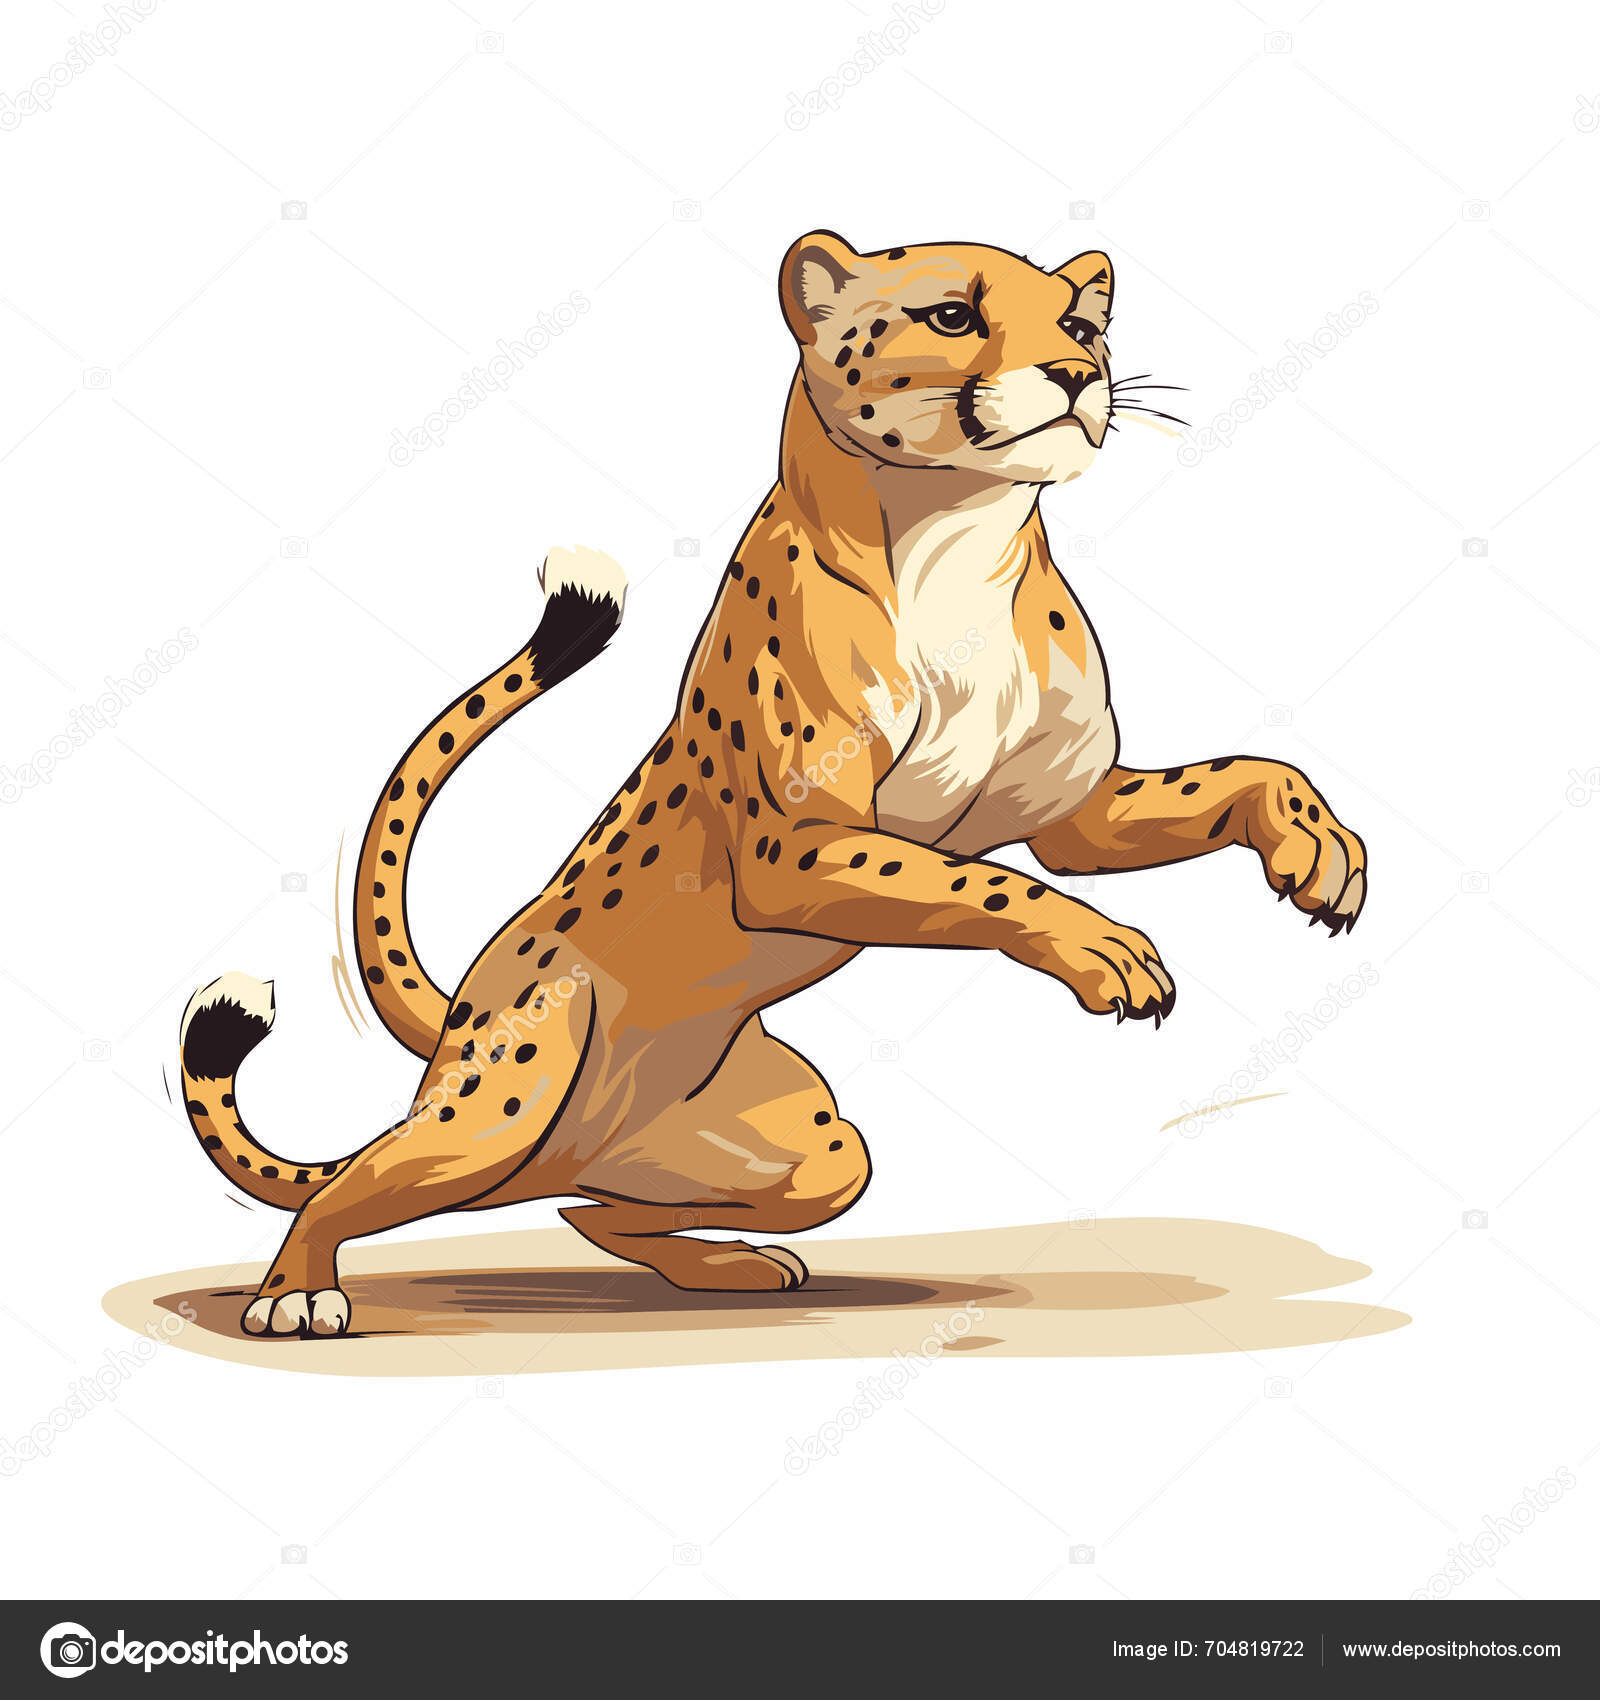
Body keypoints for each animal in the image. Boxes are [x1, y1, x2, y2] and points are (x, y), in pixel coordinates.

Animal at [177, 231, 1367, 1337]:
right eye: (951, 314)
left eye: (1081, 324)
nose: (1077, 374)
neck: (957, 540)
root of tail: (469, 996)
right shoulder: (792, 849)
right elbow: (979, 884)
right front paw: (1107, 950)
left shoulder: (1073, 813)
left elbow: (1249, 772)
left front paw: (1319, 857)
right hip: (495, 1115)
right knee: (355, 1183)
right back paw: (297, 1294)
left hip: (816, 1150)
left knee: (586, 1208)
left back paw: (727, 1268)